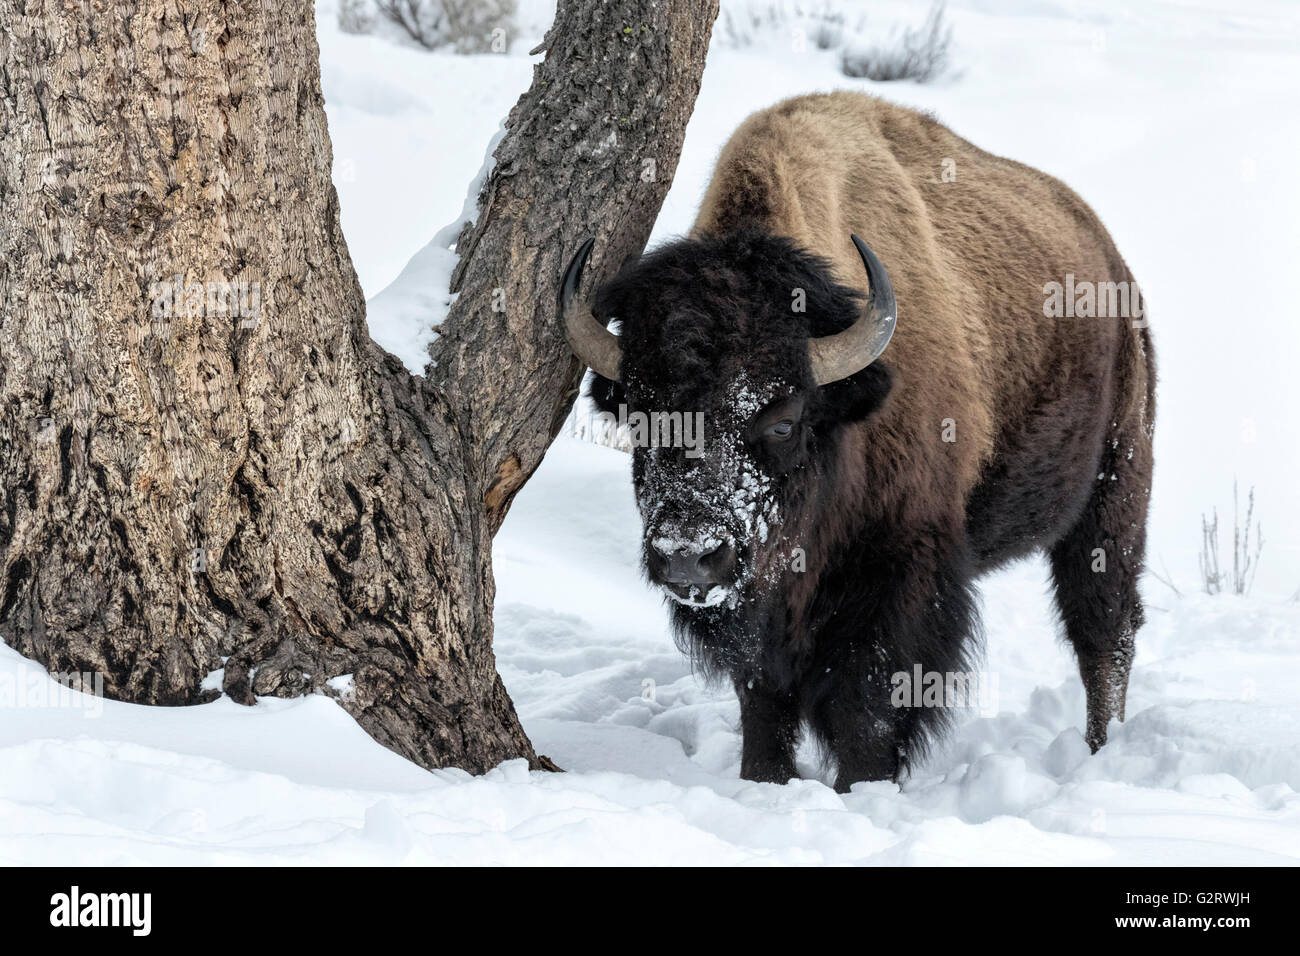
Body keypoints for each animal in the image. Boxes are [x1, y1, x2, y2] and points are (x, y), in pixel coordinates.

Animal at [560, 92, 1155, 792]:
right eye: (640, 418)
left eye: (783, 421)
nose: (688, 554)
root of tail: (1113, 265)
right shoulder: (766, 612)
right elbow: (764, 697)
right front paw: (763, 780)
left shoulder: (898, 575)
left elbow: (865, 704)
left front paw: (861, 790)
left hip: (1113, 493)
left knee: (1103, 631)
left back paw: (1100, 752)